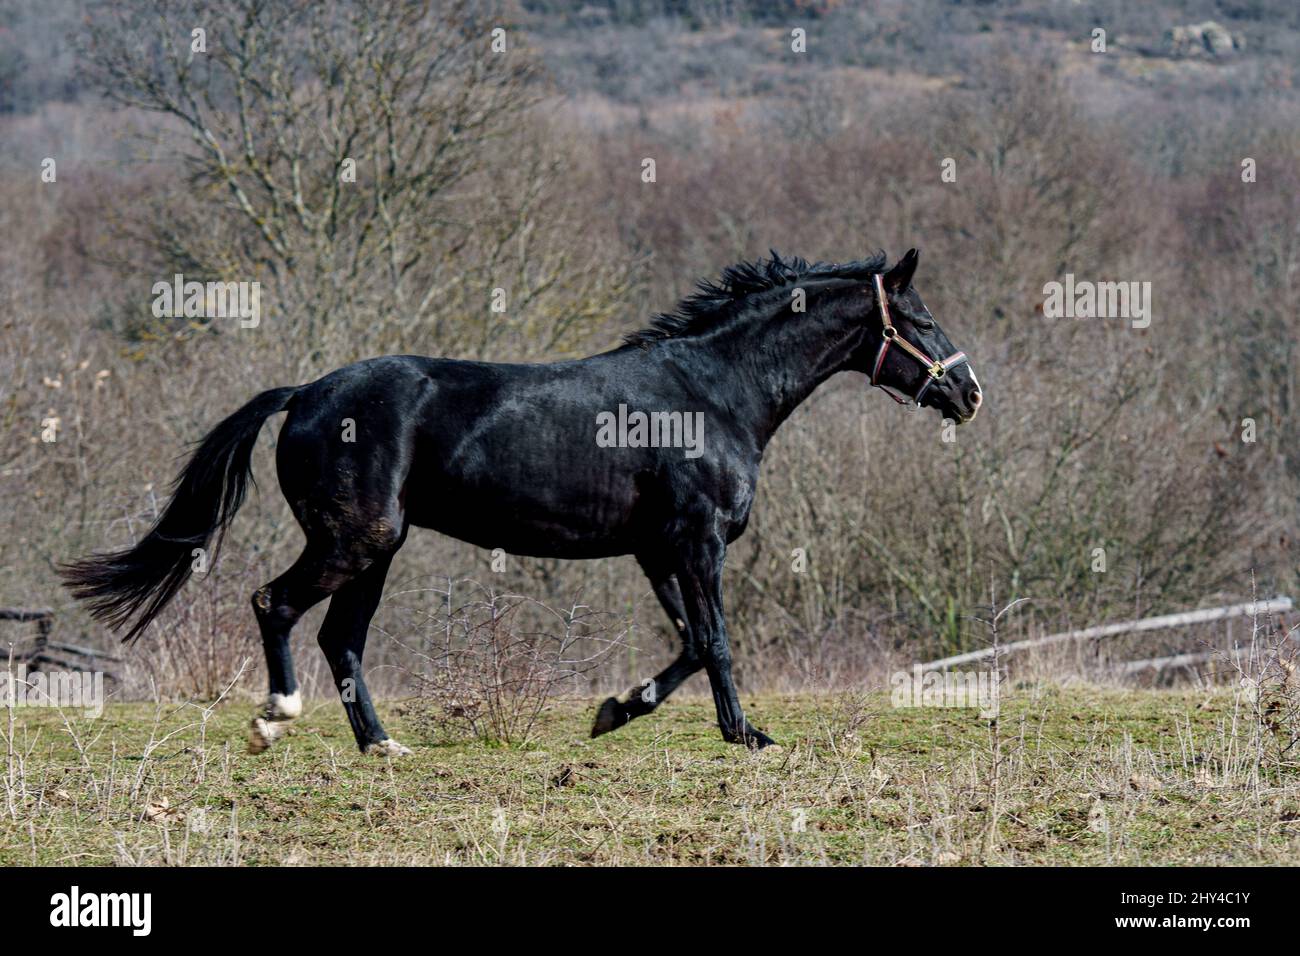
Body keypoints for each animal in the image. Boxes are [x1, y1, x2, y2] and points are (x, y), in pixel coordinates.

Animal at [61, 248, 980, 755]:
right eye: (919, 319)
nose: (969, 393)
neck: (713, 392)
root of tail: (307, 394)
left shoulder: (658, 549)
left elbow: (687, 643)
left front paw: (614, 712)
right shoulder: (698, 542)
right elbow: (717, 640)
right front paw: (746, 735)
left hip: (379, 550)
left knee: (339, 638)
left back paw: (384, 746)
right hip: (356, 541)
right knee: (275, 604)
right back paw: (274, 719)